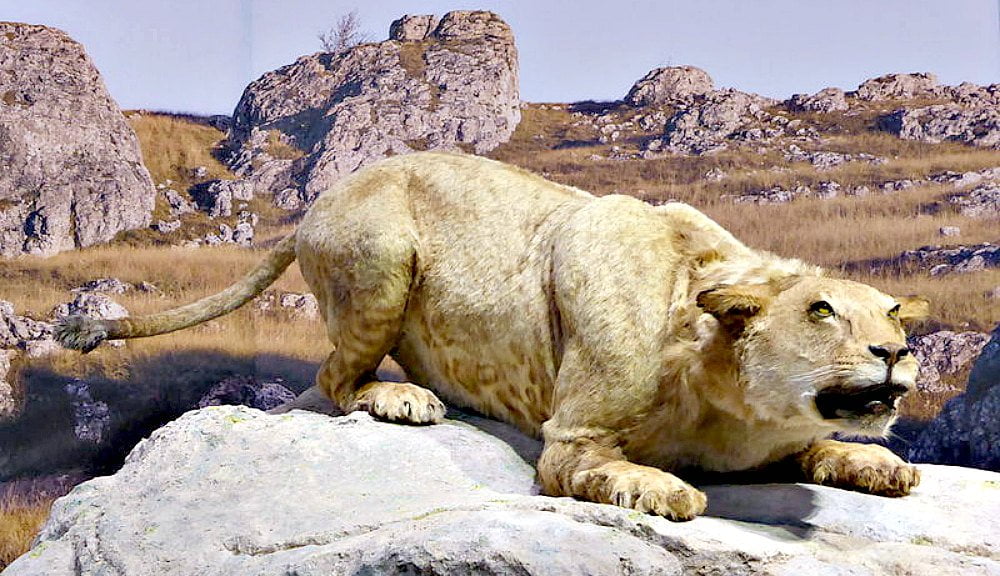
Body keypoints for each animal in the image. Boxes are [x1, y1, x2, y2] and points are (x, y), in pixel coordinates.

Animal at [56, 152, 929, 520]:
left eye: (893, 315)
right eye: (822, 311)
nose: (896, 353)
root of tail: (319, 200)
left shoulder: (781, 440)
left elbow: (827, 446)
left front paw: (884, 465)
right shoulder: (568, 440)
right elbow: (611, 472)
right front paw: (666, 489)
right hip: (379, 259)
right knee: (334, 380)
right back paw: (403, 400)